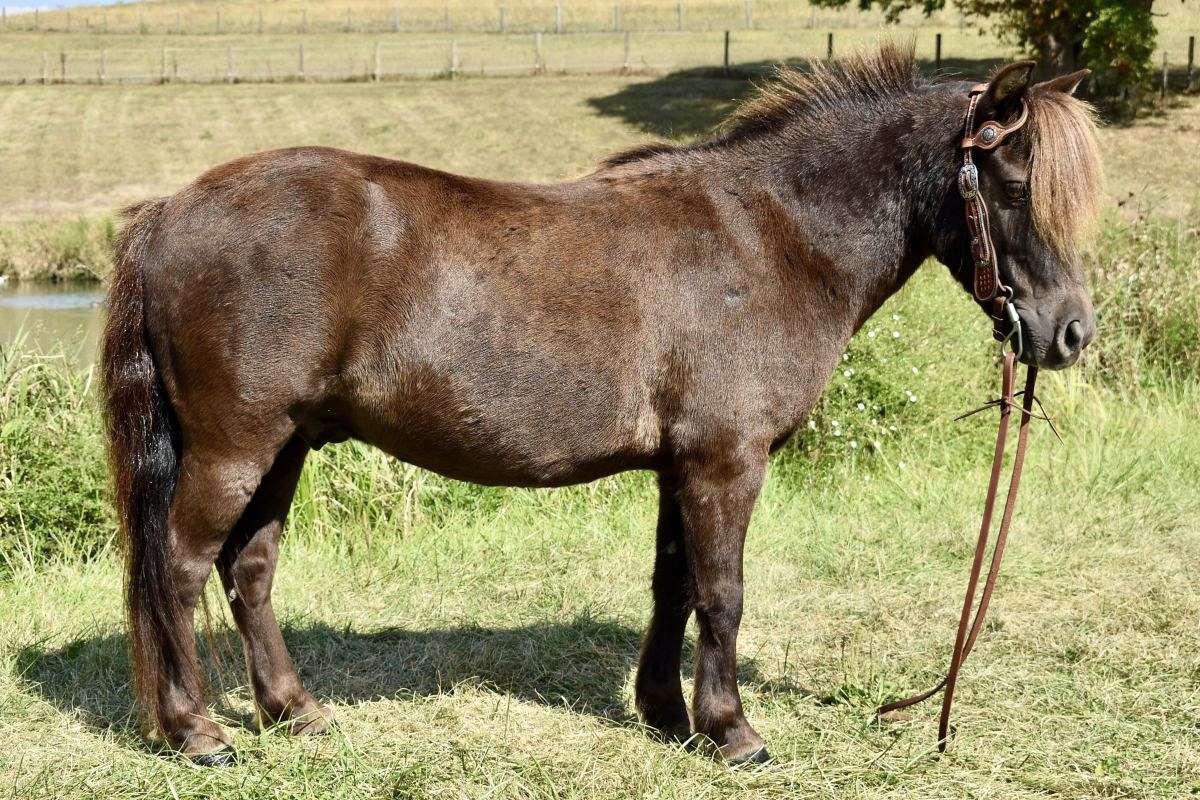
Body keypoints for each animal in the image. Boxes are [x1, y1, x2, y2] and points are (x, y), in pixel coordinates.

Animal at [101, 44, 1101, 765]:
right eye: (1014, 185)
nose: (1070, 334)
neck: (770, 236)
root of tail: (168, 210)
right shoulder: (726, 461)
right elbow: (724, 593)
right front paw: (734, 732)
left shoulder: (681, 464)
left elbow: (675, 585)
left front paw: (667, 714)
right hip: (235, 446)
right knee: (179, 570)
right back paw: (198, 732)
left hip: (287, 446)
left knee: (250, 570)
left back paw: (293, 712)